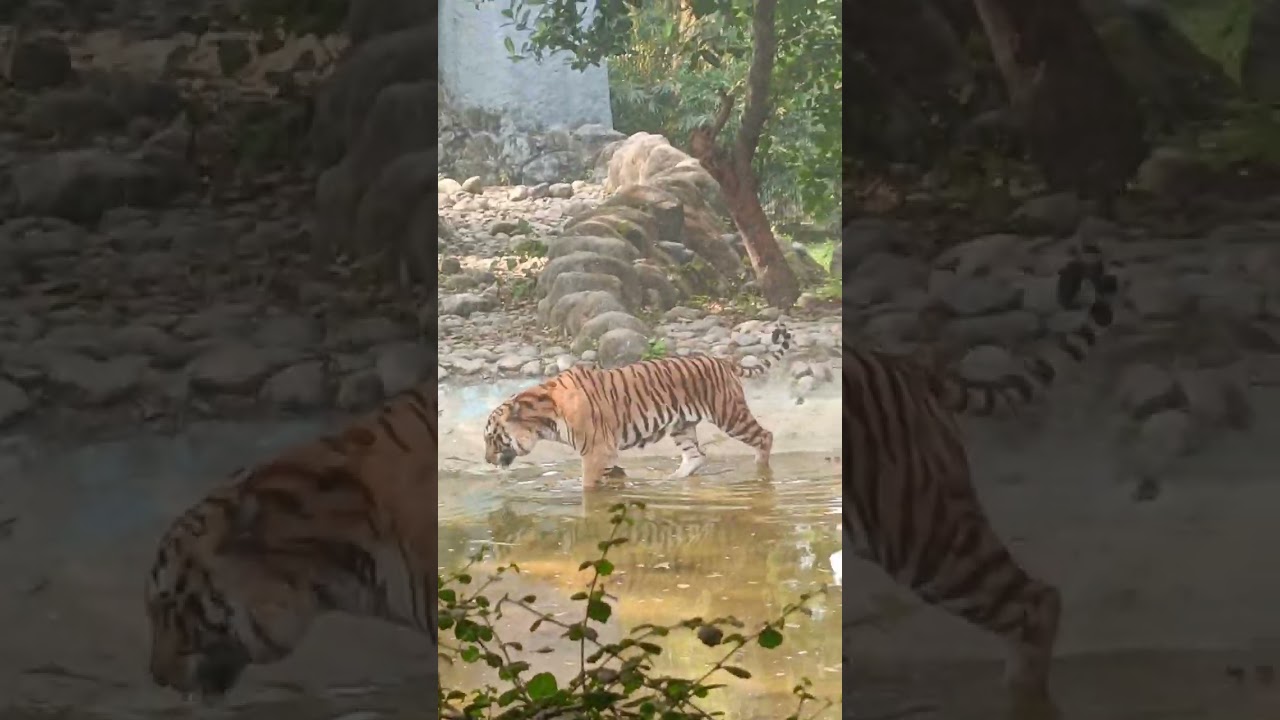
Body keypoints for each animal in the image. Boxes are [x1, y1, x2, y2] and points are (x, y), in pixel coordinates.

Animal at [483, 324, 793, 487]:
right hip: (682, 426)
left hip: (728, 414)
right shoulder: (605, 452)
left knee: (765, 436)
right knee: (696, 456)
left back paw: (761, 472)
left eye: (491, 437)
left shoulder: (596, 451)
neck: (542, 421)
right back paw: (671, 480)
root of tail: (723, 360)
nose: (486, 460)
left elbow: (588, 487)